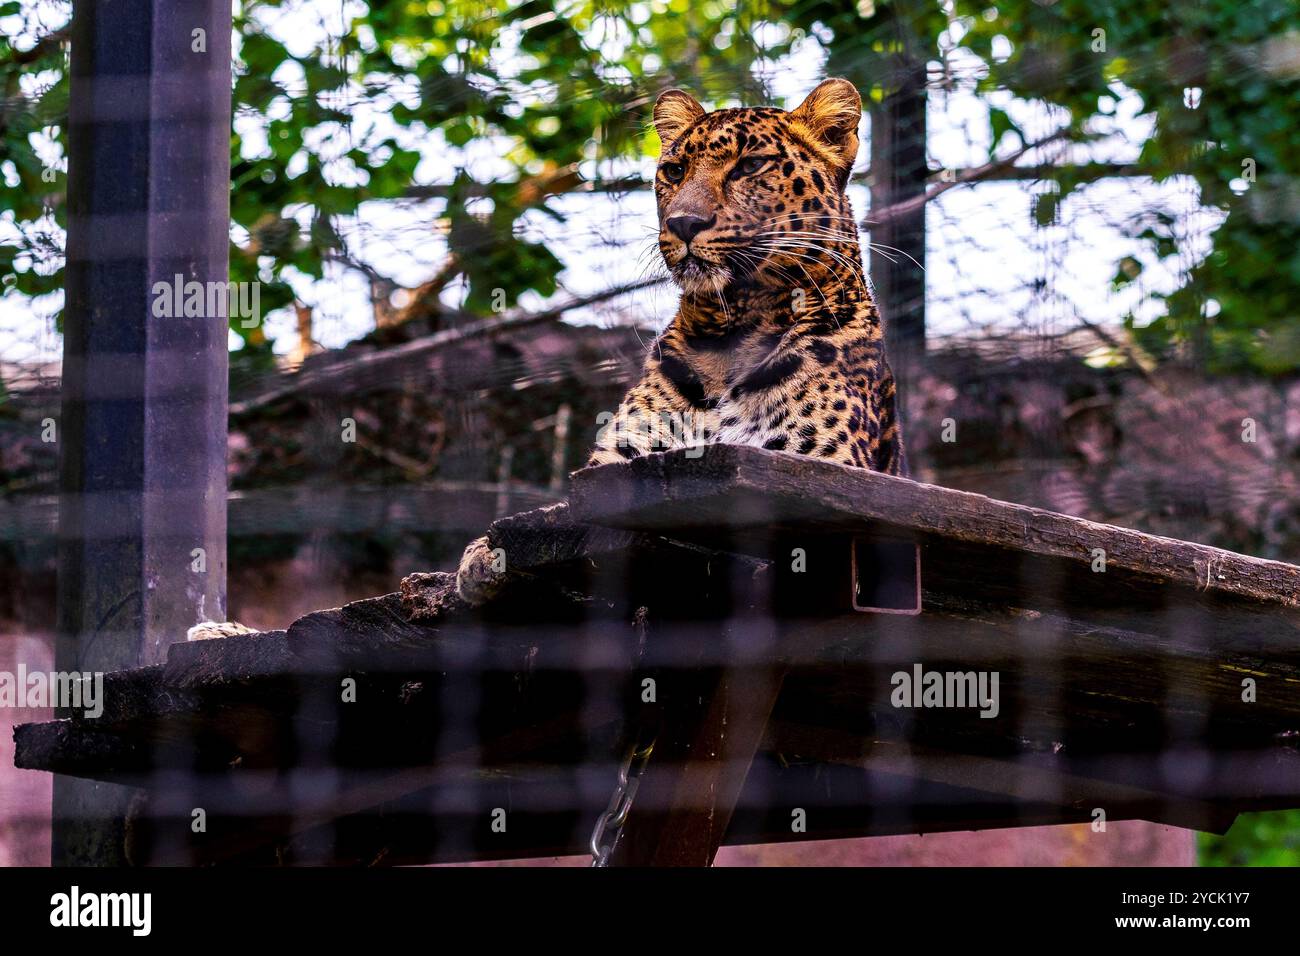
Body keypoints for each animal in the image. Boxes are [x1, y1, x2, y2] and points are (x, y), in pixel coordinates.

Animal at [454, 78, 906, 605]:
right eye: (673, 171)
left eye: (750, 166)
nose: (684, 223)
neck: (733, 329)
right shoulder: (617, 466)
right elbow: (564, 509)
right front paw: (483, 553)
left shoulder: (816, 467)